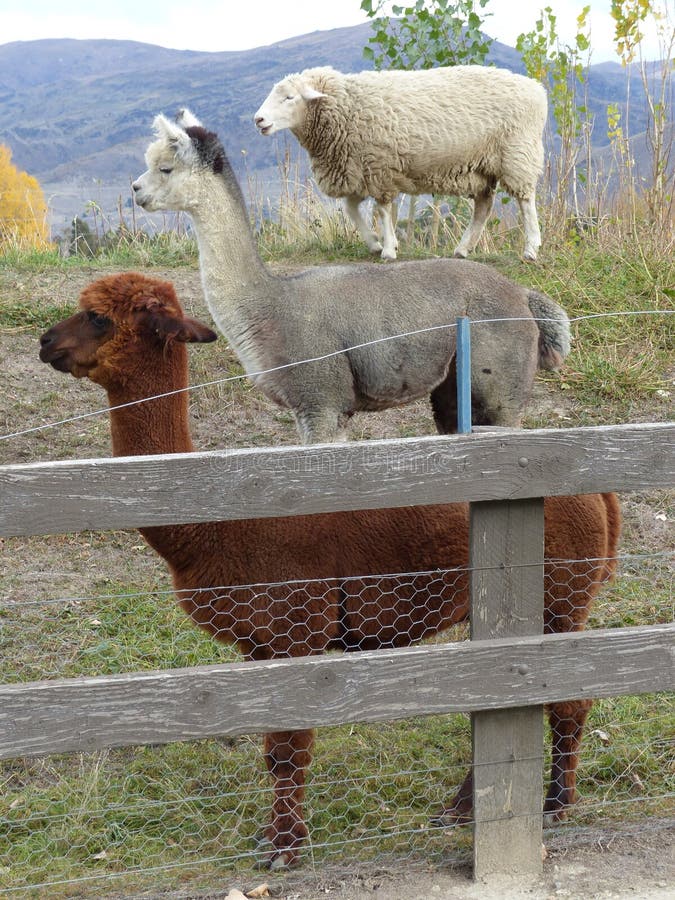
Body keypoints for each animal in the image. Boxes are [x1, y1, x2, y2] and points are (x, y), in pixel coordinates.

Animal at [39, 272, 621, 869]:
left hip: (559, 596)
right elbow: (275, 748)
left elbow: (289, 750)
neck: (222, 520)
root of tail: (594, 482)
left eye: (97, 318)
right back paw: (462, 809)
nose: (45, 342)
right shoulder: (259, 644)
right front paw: (276, 839)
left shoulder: (295, 630)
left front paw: (285, 849)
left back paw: (554, 805)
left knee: (570, 702)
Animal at [131, 109, 568, 445]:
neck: (270, 305)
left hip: (499, 386)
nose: (136, 190)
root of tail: (523, 295)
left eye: (165, 168)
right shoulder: (326, 410)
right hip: (454, 391)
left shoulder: (321, 399)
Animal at [253, 65, 548, 261]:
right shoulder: (358, 168)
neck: (347, 106)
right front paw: (374, 242)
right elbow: (351, 209)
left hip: (517, 153)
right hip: (480, 166)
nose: (258, 120)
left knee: (525, 200)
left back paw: (531, 249)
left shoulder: (378, 167)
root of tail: (537, 89)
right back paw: (463, 249)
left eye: (289, 97)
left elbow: (383, 210)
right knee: (483, 207)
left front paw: (388, 249)